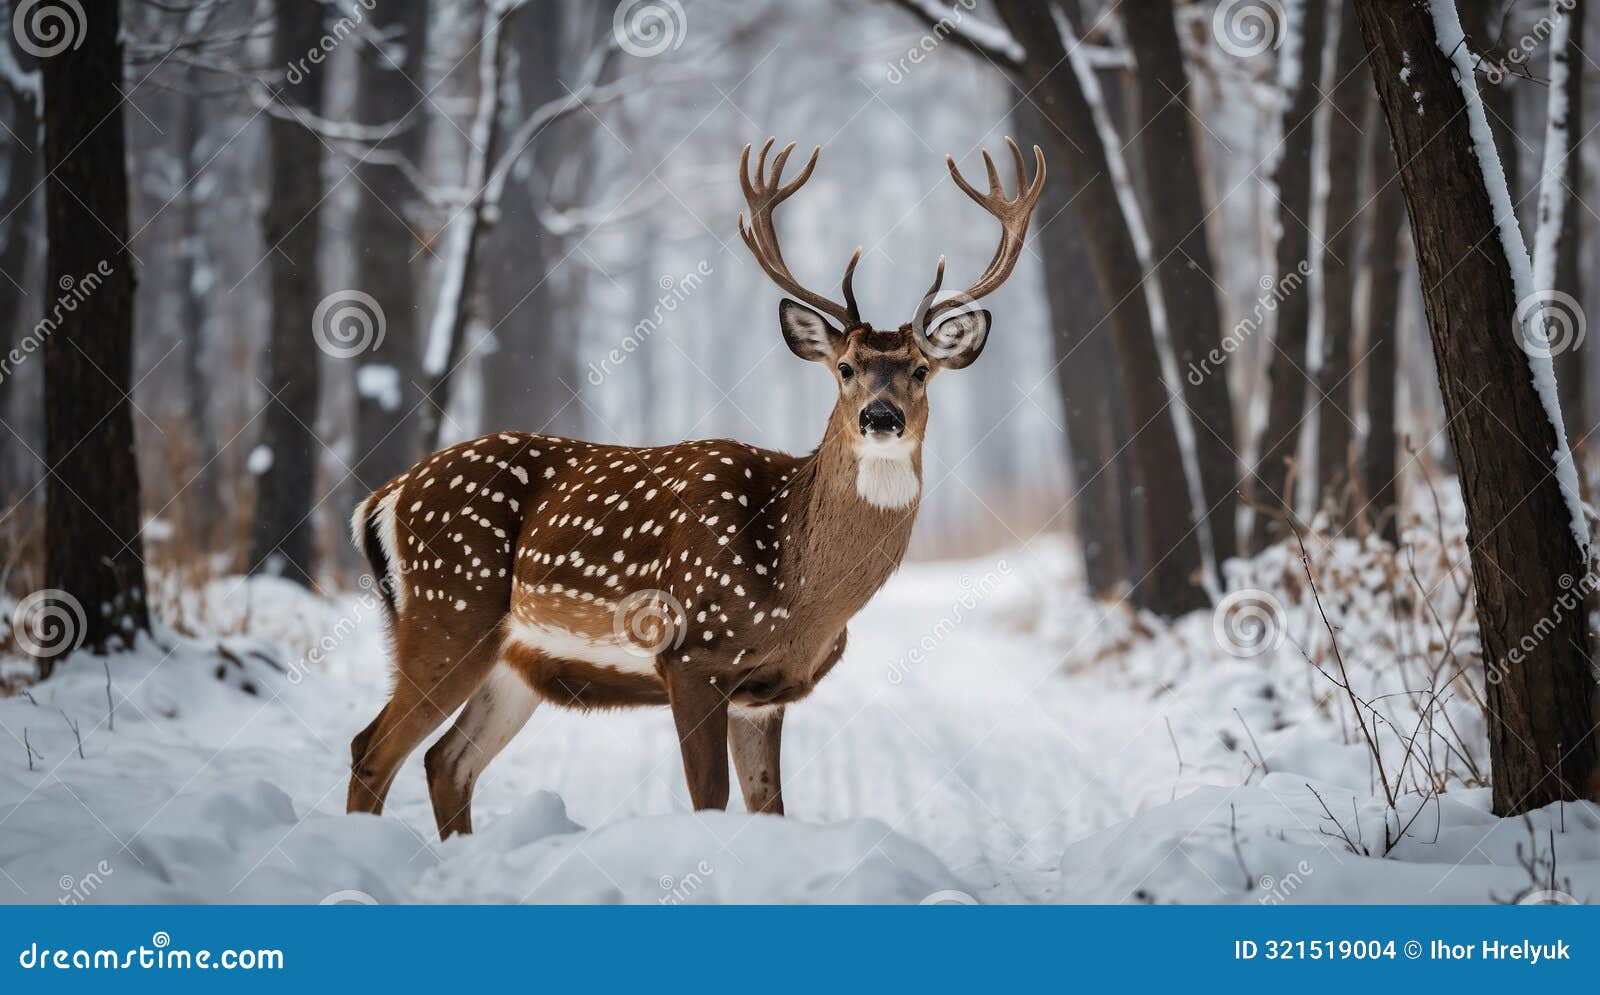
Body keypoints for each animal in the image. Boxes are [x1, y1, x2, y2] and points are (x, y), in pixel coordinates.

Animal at [346, 137, 1045, 839]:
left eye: (922, 370)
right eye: (845, 368)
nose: (881, 417)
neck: (794, 587)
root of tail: (380, 499)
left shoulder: (766, 694)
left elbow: (769, 806)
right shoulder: (692, 656)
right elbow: (709, 799)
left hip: (512, 661)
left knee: (446, 760)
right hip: (449, 607)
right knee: (372, 749)